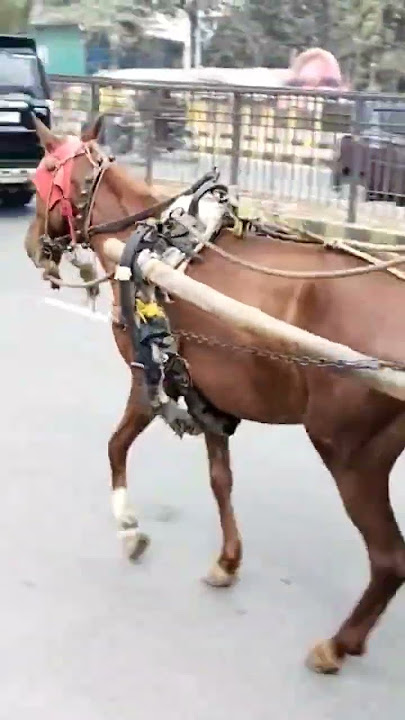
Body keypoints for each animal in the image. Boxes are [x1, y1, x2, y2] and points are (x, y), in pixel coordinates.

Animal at [25, 114, 405, 675]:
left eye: (38, 182)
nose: (31, 246)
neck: (148, 246)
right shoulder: (208, 395)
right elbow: (220, 479)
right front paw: (228, 561)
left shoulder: (145, 375)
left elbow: (116, 447)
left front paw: (129, 529)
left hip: (350, 454)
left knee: (388, 558)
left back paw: (338, 644)